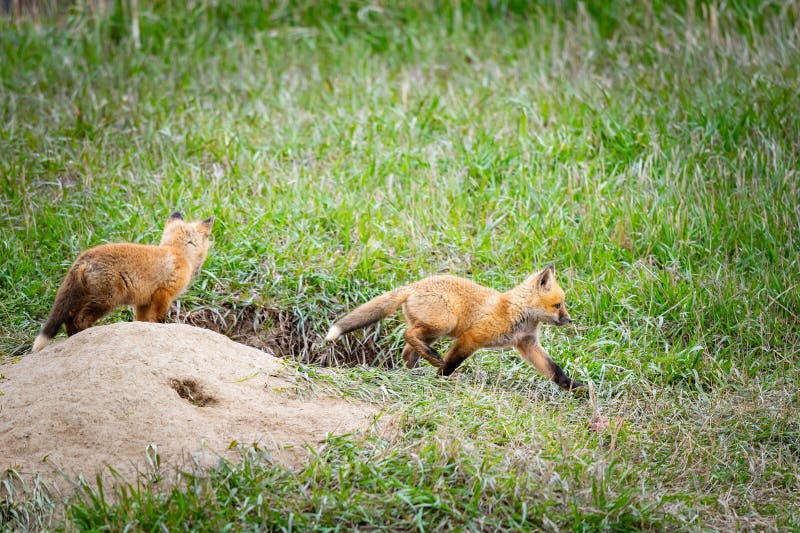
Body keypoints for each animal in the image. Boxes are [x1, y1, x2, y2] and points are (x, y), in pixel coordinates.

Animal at [31, 212, 214, 352]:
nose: (200, 270)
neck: (177, 252)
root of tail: (84, 257)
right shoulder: (164, 293)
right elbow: (159, 318)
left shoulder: (143, 302)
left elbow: (142, 321)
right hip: (106, 301)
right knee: (78, 320)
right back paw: (88, 334)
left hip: (83, 298)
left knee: (69, 320)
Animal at [325, 265, 583, 391]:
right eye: (558, 305)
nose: (569, 320)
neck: (516, 312)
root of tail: (413, 285)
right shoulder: (472, 338)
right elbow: (451, 363)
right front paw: (440, 379)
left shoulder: (527, 344)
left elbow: (554, 370)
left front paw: (575, 388)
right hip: (443, 324)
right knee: (408, 335)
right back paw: (431, 359)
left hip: (433, 330)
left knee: (408, 349)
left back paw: (412, 371)